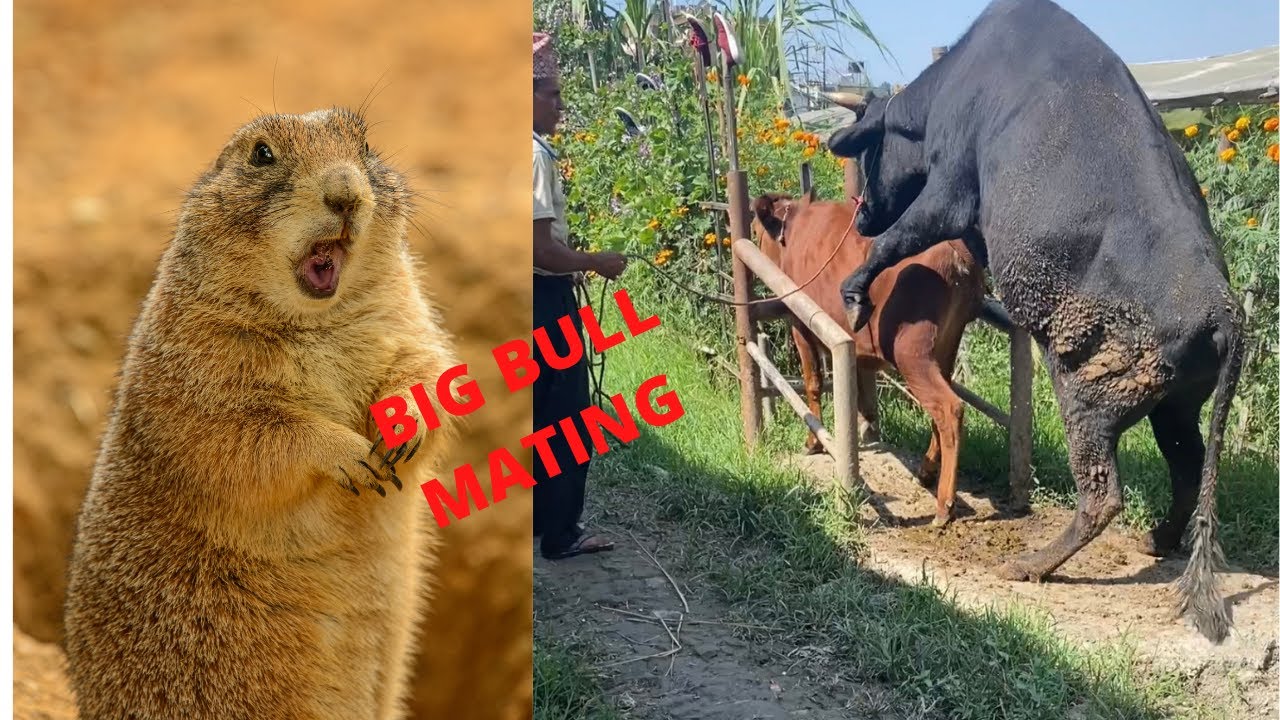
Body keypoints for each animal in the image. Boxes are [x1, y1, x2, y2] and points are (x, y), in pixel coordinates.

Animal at [751, 189, 986, 527]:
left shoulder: (800, 323)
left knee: (949, 407)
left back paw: (944, 505)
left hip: (911, 352)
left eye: (754, 231)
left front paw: (813, 443)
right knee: (941, 408)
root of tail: (956, 251)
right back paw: (927, 470)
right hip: (946, 346)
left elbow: (813, 382)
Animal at [824, 0, 1244, 643]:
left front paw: (855, 294)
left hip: (1090, 397)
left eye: (871, 153)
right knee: (1187, 466)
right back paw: (1157, 541)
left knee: (1104, 494)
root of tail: (1225, 308)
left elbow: (898, 241)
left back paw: (1031, 564)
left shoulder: (950, 189)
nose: (863, 213)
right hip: (1174, 404)